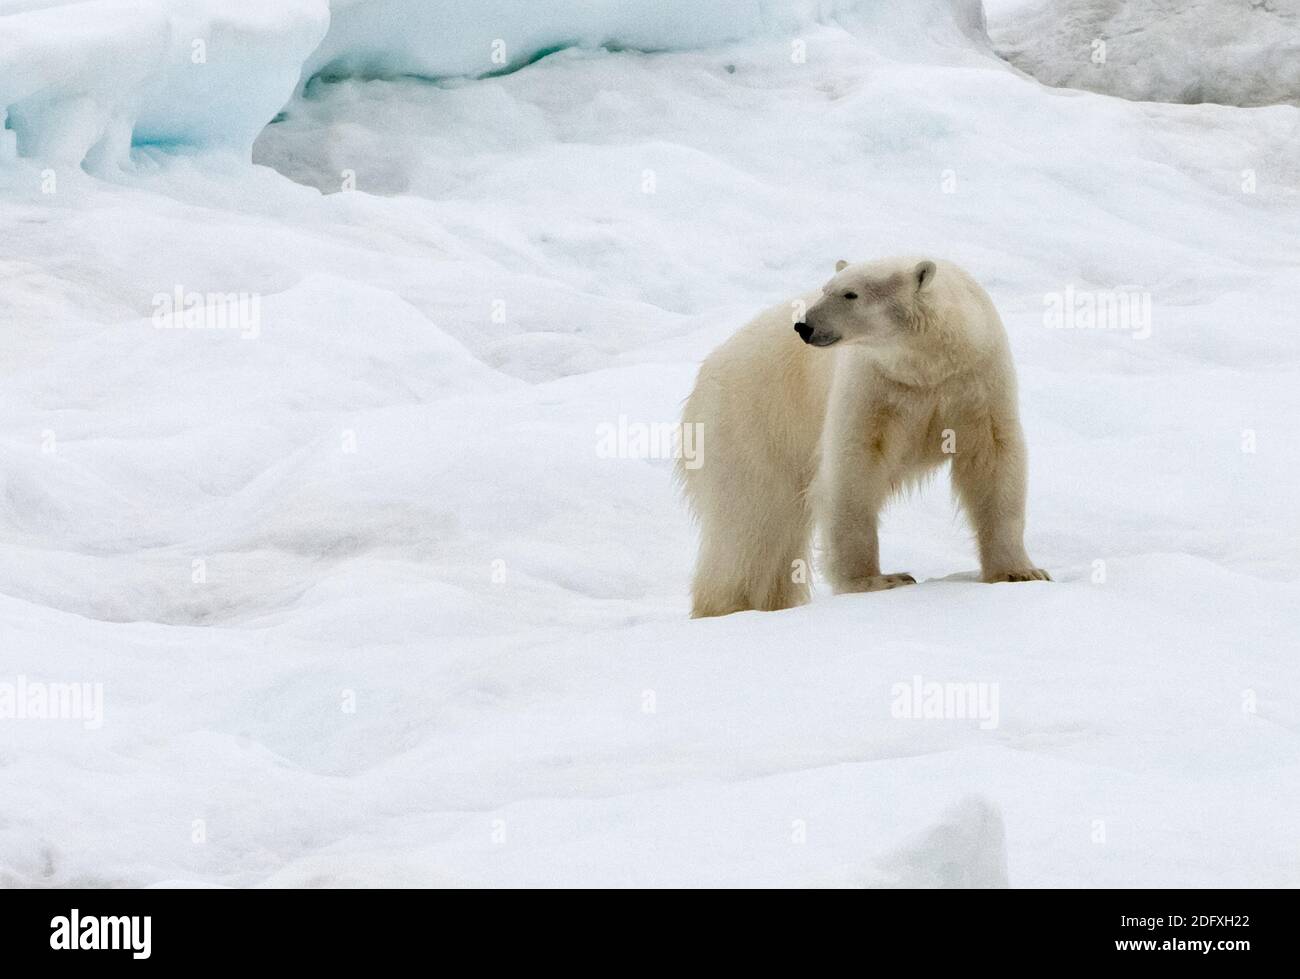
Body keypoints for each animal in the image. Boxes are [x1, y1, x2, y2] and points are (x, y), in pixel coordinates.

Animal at [678, 256, 1048, 618]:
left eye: (850, 294)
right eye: (825, 288)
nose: (804, 326)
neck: (927, 364)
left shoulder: (974, 378)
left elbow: (992, 459)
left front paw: (1020, 572)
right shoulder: (872, 382)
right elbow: (854, 465)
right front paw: (878, 580)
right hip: (755, 423)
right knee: (753, 522)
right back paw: (727, 605)